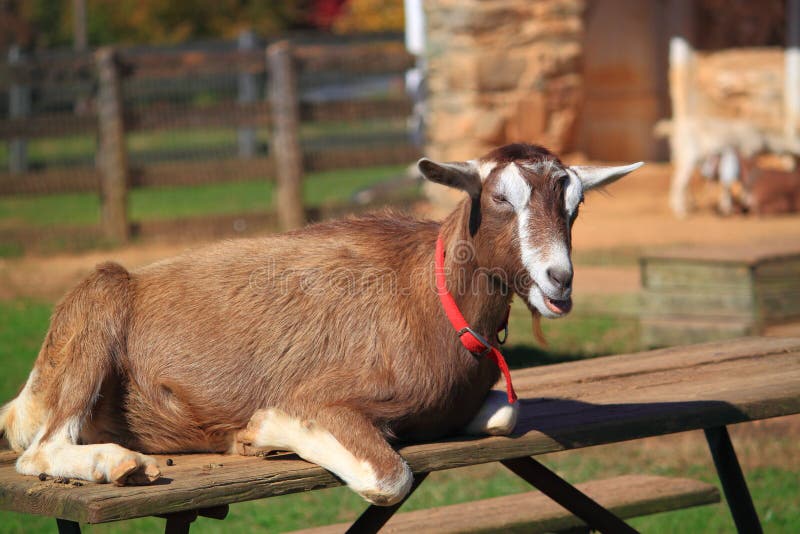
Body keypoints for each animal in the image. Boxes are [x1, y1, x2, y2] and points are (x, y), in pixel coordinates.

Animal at [0, 143, 642, 505]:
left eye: (576, 204)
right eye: (502, 199)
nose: (560, 281)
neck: (432, 299)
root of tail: (24, 396)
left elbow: (508, 413)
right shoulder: (328, 398)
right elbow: (388, 476)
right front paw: (264, 431)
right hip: (96, 310)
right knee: (38, 451)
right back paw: (121, 464)